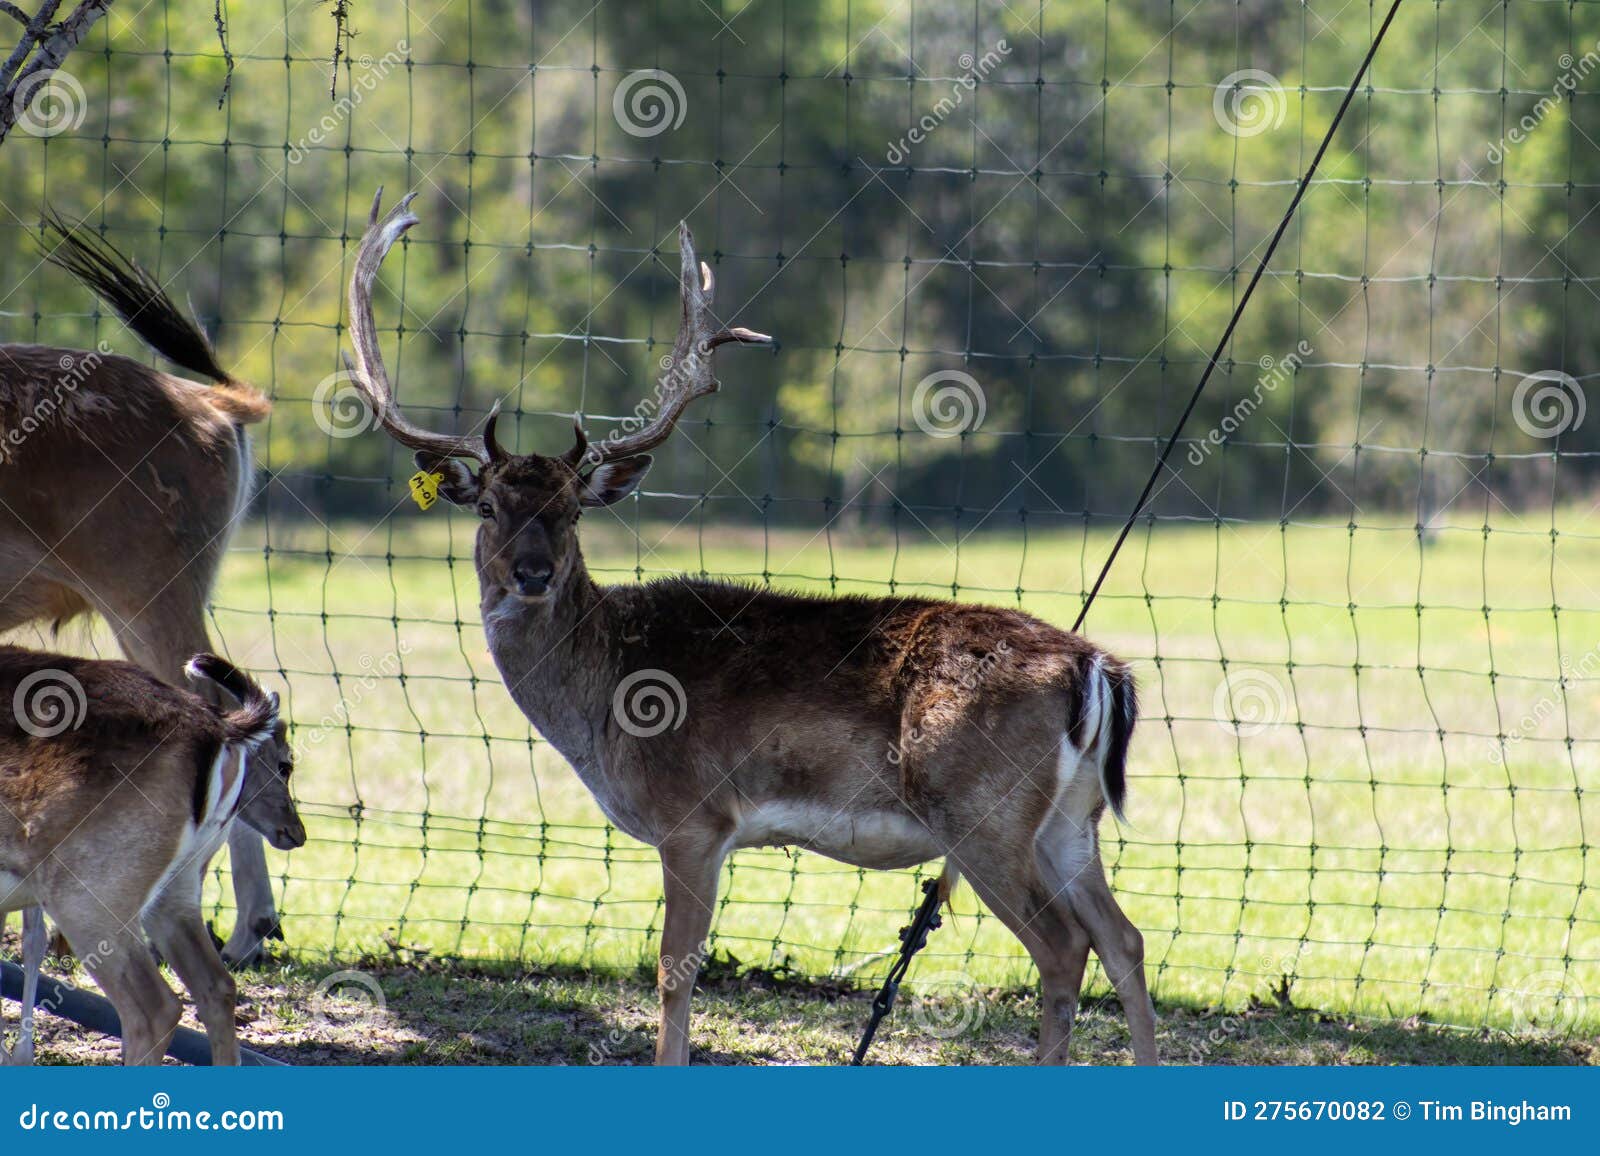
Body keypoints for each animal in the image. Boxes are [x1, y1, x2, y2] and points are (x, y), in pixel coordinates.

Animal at [0, 647, 304, 1065]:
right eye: (284, 765)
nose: (296, 832)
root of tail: (220, 726)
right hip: (176, 888)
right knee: (218, 986)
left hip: (89, 891)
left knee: (156, 1007)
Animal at [343, 190, 1158, 1066]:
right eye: (490, 505)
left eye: (569, 511)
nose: (531, 574)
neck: (601, 708)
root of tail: (1099, 669)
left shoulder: (694, 816)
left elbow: (674, 971)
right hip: (1070, 817)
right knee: (1125, 938)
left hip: (982, 809)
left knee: (1064, 946)